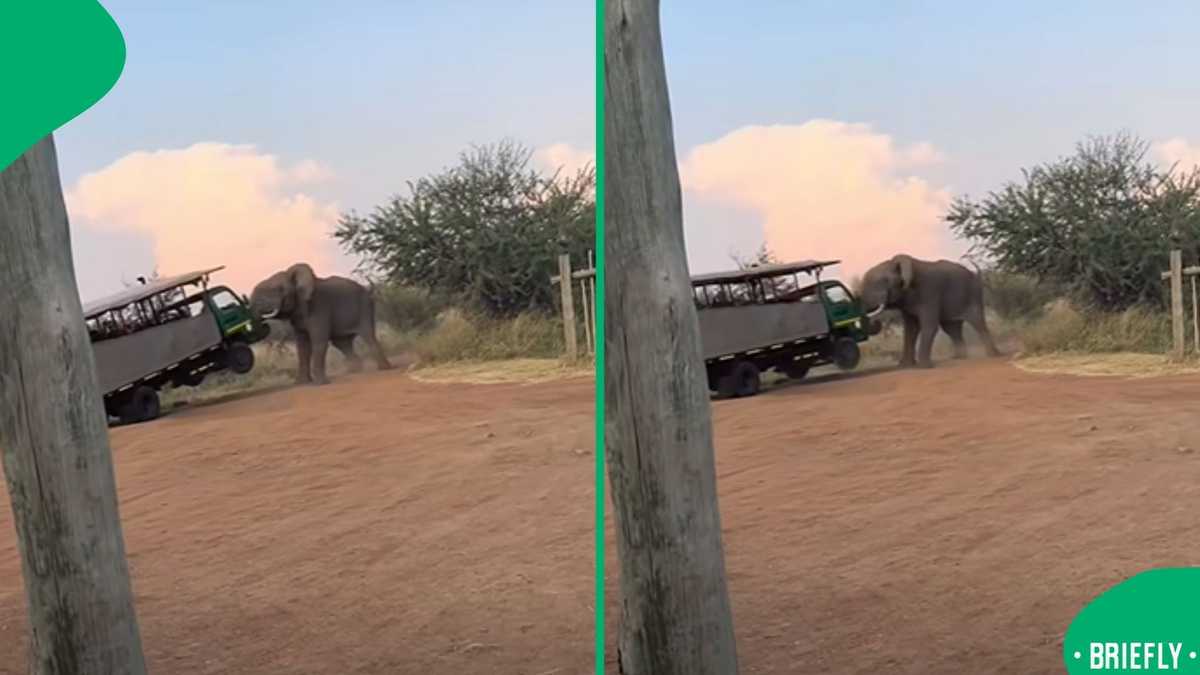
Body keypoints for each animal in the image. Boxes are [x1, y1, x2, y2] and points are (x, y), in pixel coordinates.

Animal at [248, 263, 392, 385]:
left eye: (278, 289)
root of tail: (368, 291)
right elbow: (303, 346)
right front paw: (302, 383)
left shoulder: (319, 307)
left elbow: (319, 341)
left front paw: (321, 383)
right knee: (341, 343)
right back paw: (354, 370)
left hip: (365, 307)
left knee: (368, 336)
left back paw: (384, 368)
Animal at [858, 254, 1002, 369]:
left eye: (883, 282)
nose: (876, 320)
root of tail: (975, 274)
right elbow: (910, 330)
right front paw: (905, 366)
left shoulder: (929, 293)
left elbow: (929, 326)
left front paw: (923, 367)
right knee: (951, 328)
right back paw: (959, 357)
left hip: (973, 294)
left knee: (978, 323)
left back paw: (993, 355)